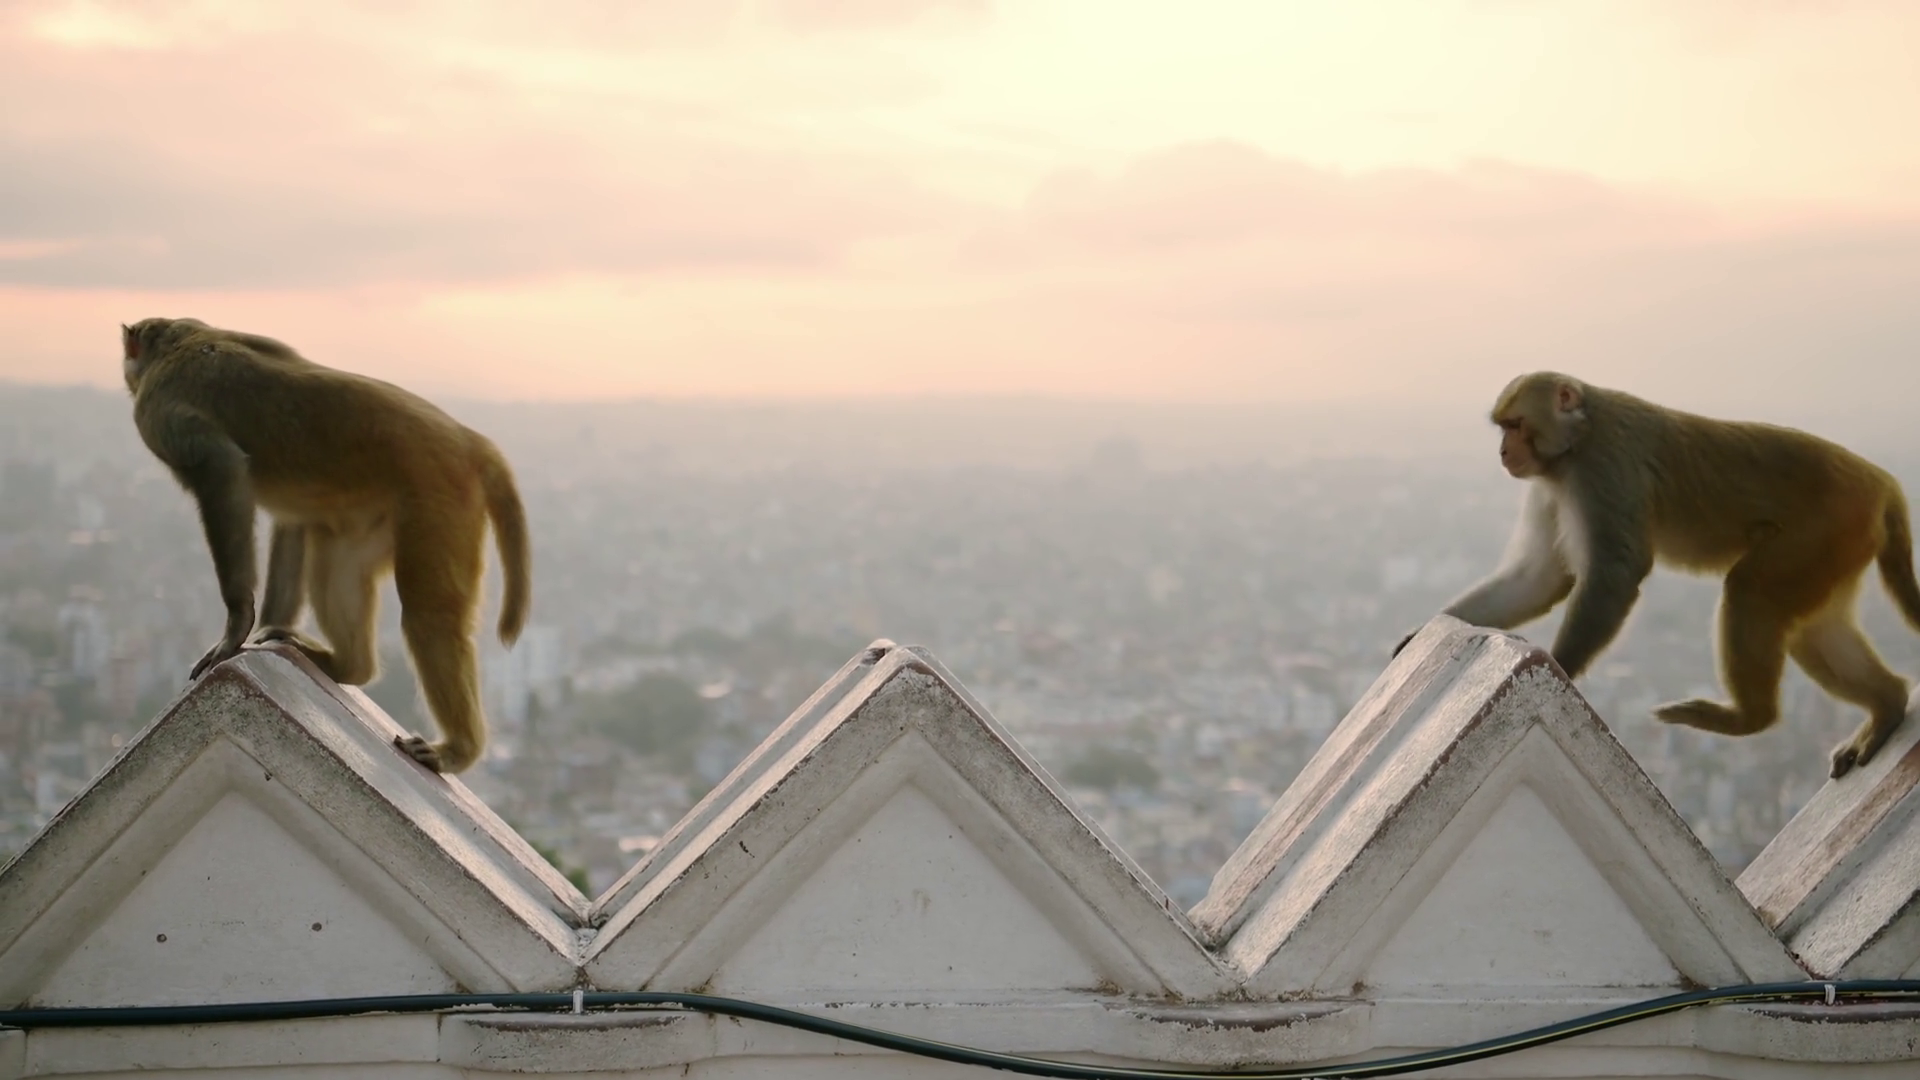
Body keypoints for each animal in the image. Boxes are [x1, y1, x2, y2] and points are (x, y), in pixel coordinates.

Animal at [120, 317, 531, 775]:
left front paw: (237, 627)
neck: (185, 338)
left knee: (431, 618)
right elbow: (295, 521)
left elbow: (222, 470)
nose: (126, 372)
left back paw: (458, 749)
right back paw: (349, 665)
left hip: (438, 503)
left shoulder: (159, 412)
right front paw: (269, 626)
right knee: (340, 572)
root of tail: (473, 443)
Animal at [1394, 371, 1920, 779]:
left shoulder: (1602, 470)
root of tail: (1882, 482)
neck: (1577, 439)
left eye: (1516, 425)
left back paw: (1748, 717)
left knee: (1750, 591)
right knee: (1815, 630)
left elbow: (1615, 572)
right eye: (1503, 429)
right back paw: (1888, 704)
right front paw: (1418, 636)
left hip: (1824, 530)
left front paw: (1560, 666)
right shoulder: (1551, 485)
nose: (1504, 452)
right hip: (1838, 548)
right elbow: (1537, 576)